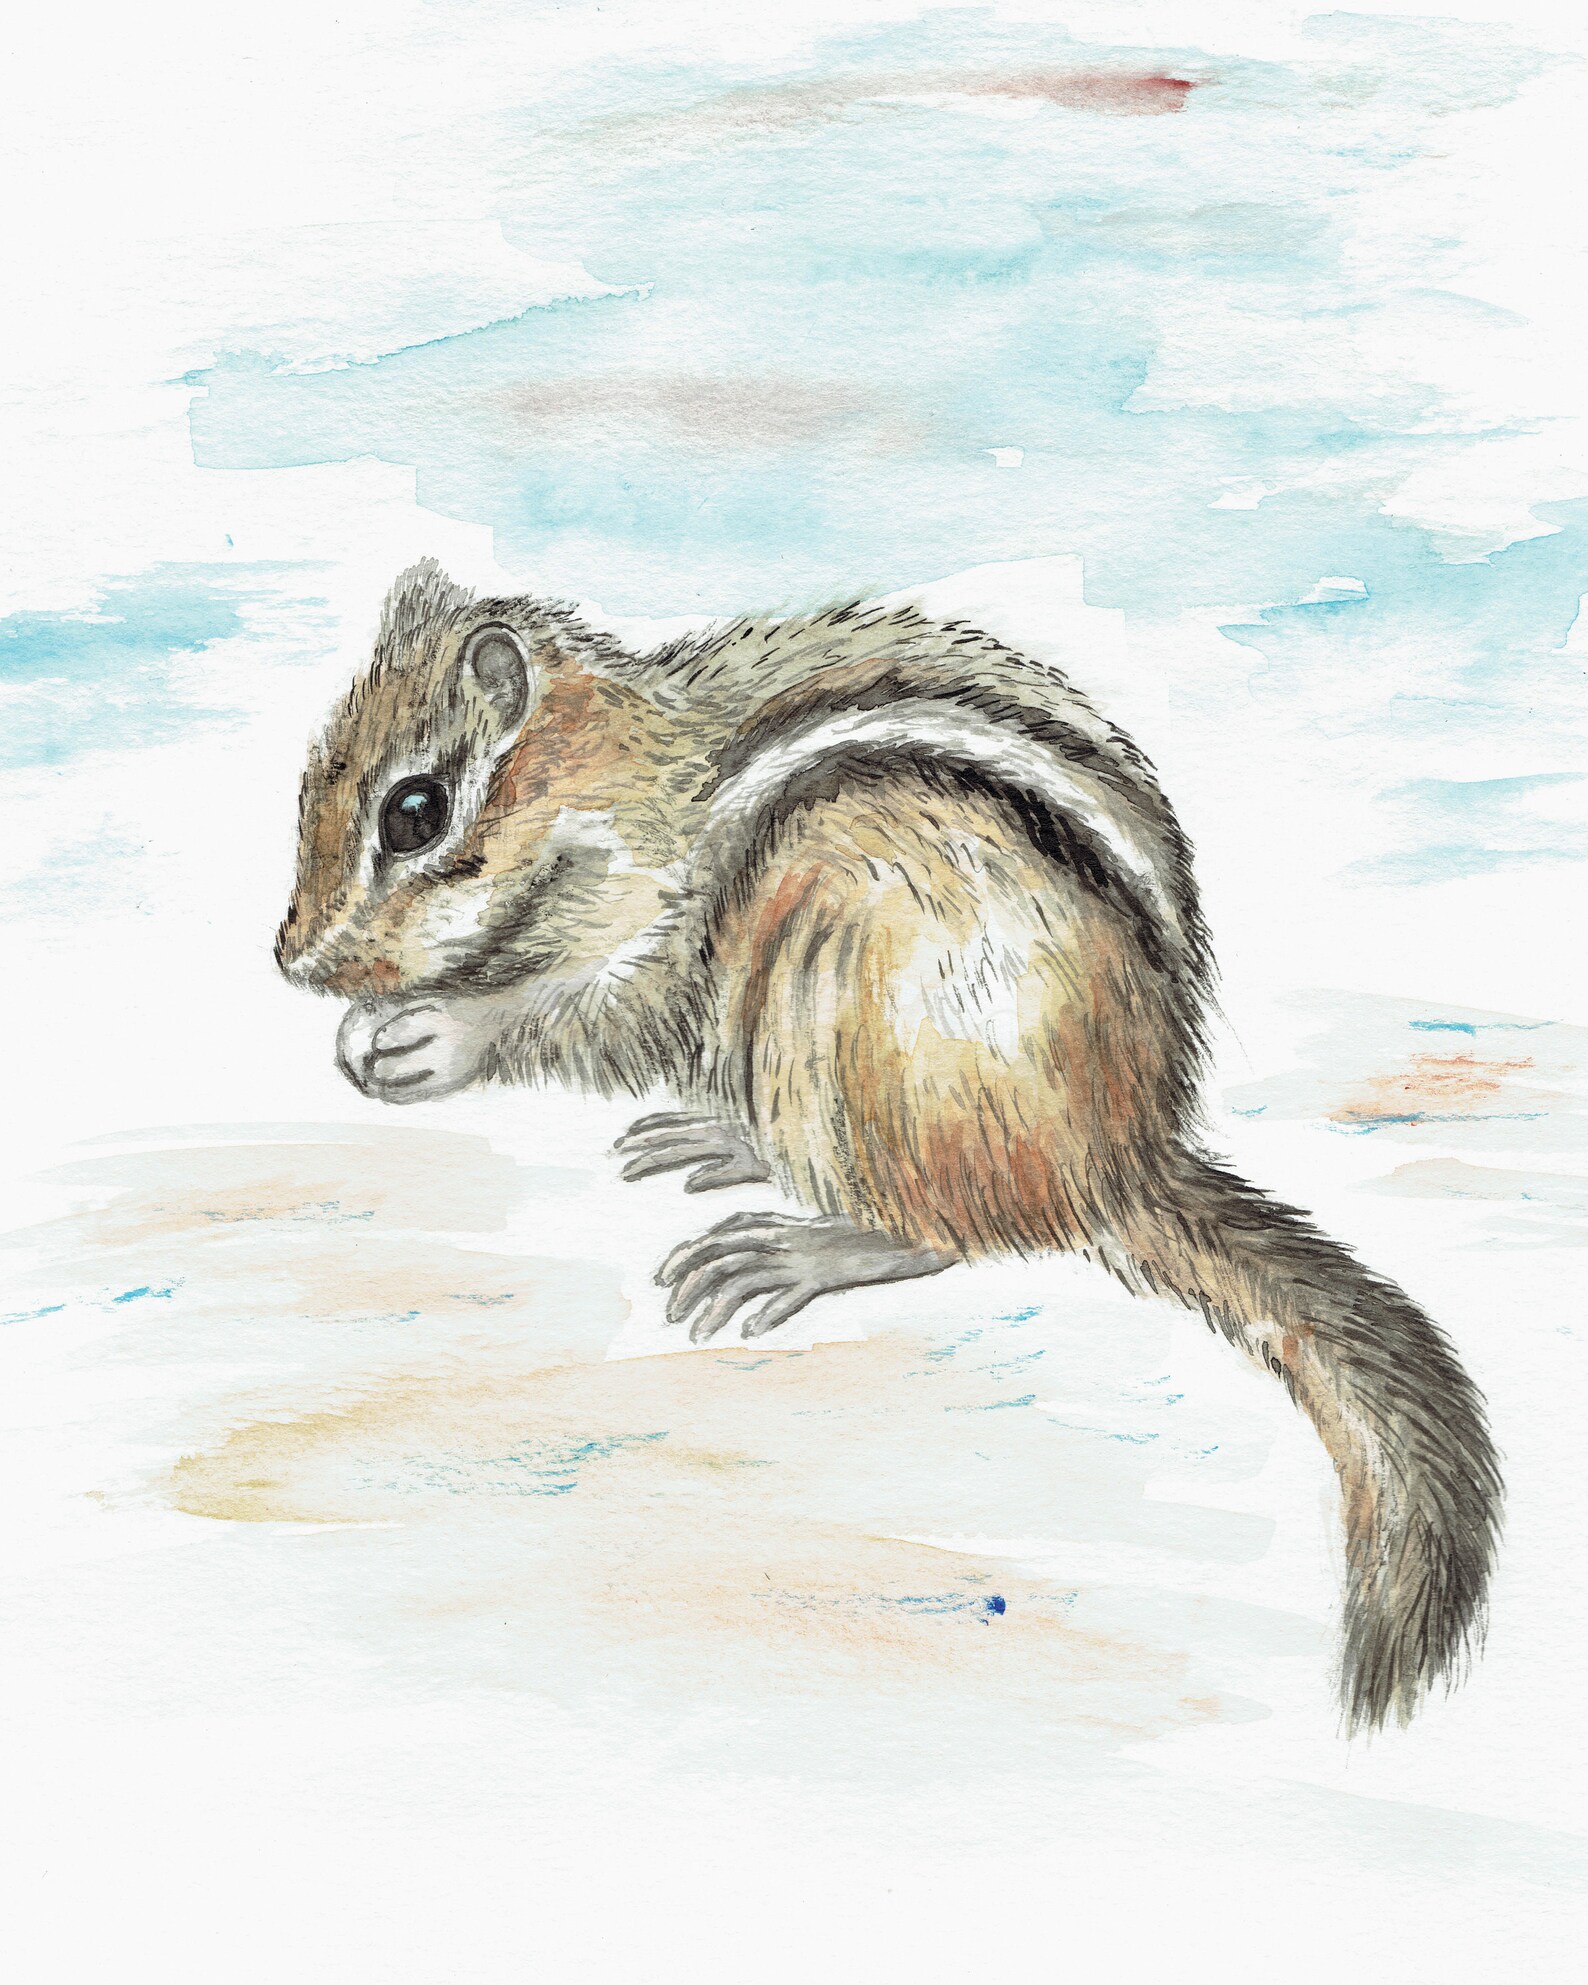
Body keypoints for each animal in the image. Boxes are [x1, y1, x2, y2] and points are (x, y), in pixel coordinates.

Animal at [276, 557, 1502, 1734]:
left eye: (415, 810)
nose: (293, 959)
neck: (601, 796)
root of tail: (1114, 1161)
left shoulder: (659, 934)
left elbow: (593, 1014)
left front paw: (439, 1035)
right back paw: (723, 1137)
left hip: (842, 1010)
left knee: (936, 1234)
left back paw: (798, 1248)